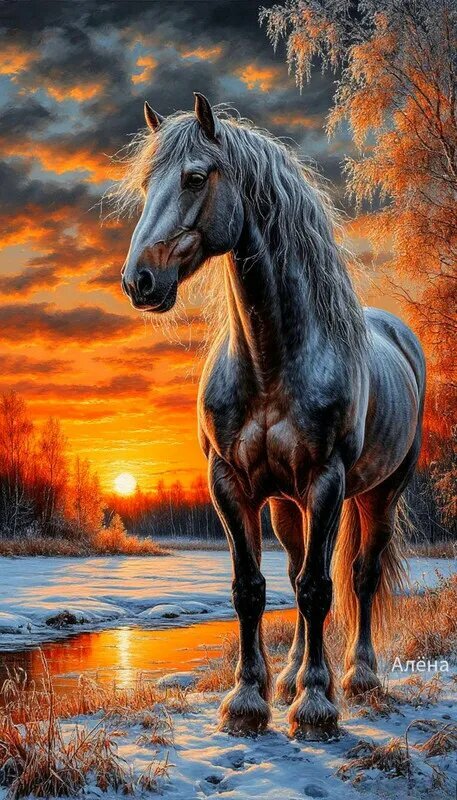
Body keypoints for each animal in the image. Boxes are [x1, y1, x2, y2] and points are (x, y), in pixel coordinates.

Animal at [120, 93, 425, 741]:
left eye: (195, 177)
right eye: (146, 184)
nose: (139, 281)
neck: (269, 363)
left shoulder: (327, 482)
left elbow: (318, 591)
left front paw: (315, 706)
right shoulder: (230, 484)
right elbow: (251, 589)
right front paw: (248, 701)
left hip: (379, 493)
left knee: (360, 576)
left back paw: (358, 678)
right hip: (287, 504)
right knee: (291, 572)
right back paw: (287, 677)